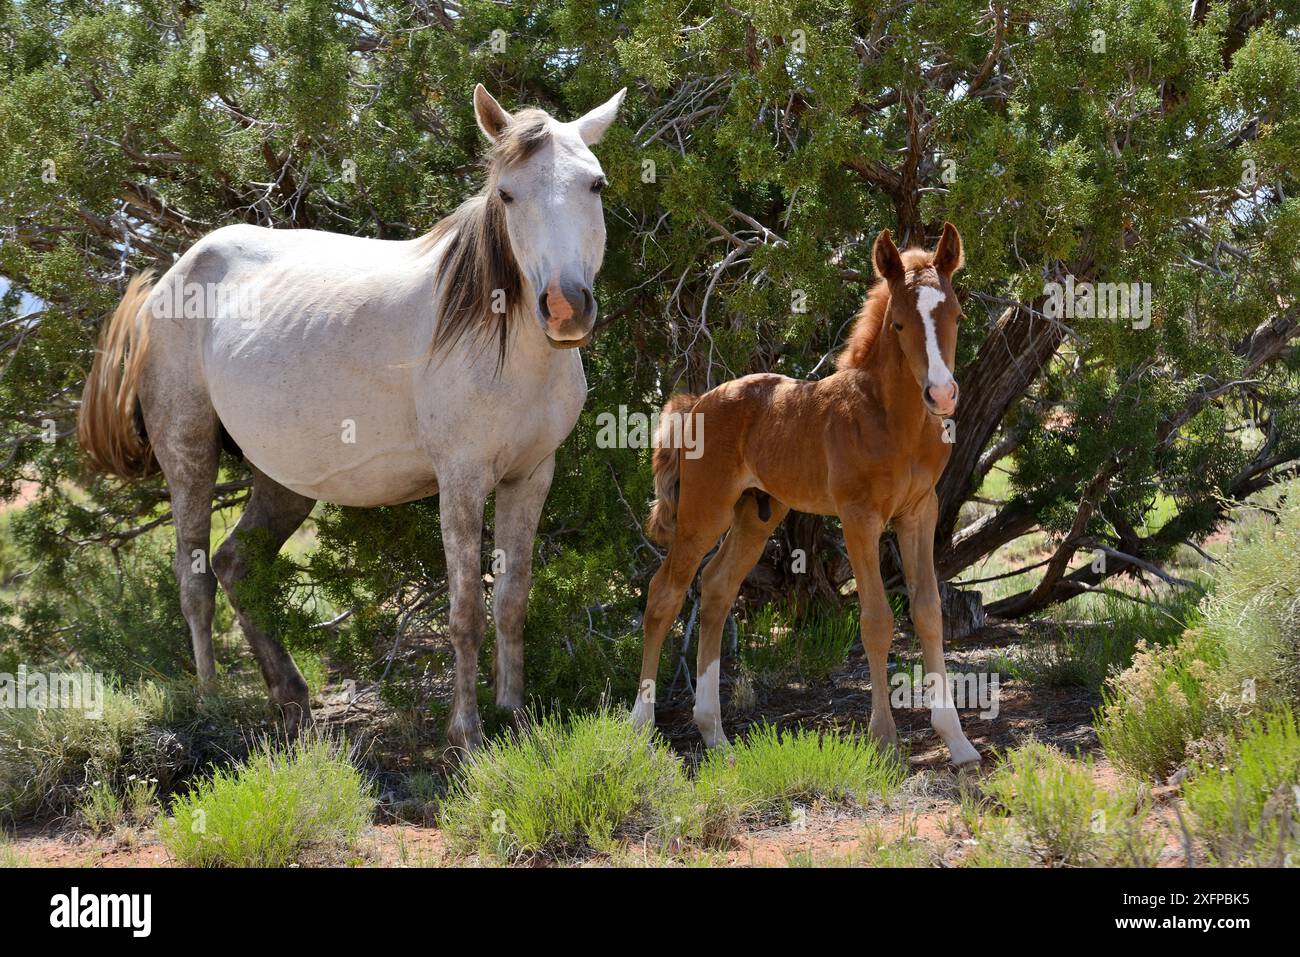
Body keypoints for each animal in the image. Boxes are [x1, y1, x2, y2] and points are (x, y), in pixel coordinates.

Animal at [77, 84, 626, 751]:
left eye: (595, 184)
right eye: (507, 195)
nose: (565, 307)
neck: (504, 342)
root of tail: (173, 277)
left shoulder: (531, 476)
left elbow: (512, 602)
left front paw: (514, 717)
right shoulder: (462, 480)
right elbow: (466, 610)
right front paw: (466, 732)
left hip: (284, 475)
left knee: (237, 564)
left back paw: (291, 699)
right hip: (189, 452)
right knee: (195, 580)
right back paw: (210, 705)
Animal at [631, 223, 981, 767]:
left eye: (957, 316)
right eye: (899, 324)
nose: (942, 395)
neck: (890, 419)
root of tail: (696, 402)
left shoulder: (920, 511)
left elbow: (927, 612)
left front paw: (959, 742)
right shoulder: (858, 516)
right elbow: (877, 620)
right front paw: (884, 740)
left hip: (756, 515)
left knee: (717, 589)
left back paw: (716, 735)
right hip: (703, 513)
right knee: (664, 594)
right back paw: (639, 730)